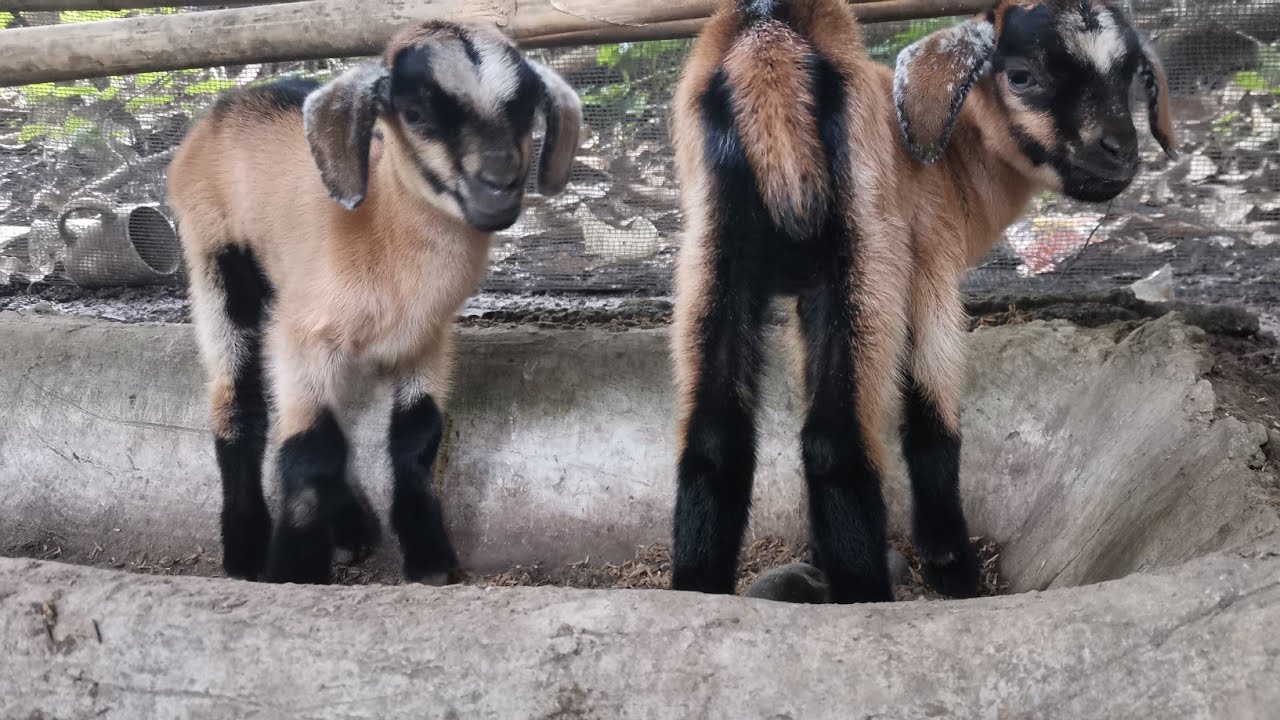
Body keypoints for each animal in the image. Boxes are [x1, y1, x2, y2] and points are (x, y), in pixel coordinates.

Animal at [167, 21, 582, 584]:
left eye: (527, 108)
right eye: (415, 114)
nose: (500, 186)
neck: (381, 231)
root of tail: (225, 106)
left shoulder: (427, 341)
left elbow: (416, 437)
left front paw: (430, 557)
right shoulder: (301, 336)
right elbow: (310, 451)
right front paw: (296, 570)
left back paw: (350, 527)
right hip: (214, 257)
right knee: (237, 396)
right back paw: (245, 546)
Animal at [668, 0, 1176, 603]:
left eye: (1132, 76)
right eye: (1021, 76)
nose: (1120, 152)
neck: (957, 166)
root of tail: (767, 45)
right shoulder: (928, 264)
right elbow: (932, 416)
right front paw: (949, 564)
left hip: (713, 254)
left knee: (714, 436)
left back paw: (699, 588)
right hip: (866, 252)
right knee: (834, 442)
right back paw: (865, 596)